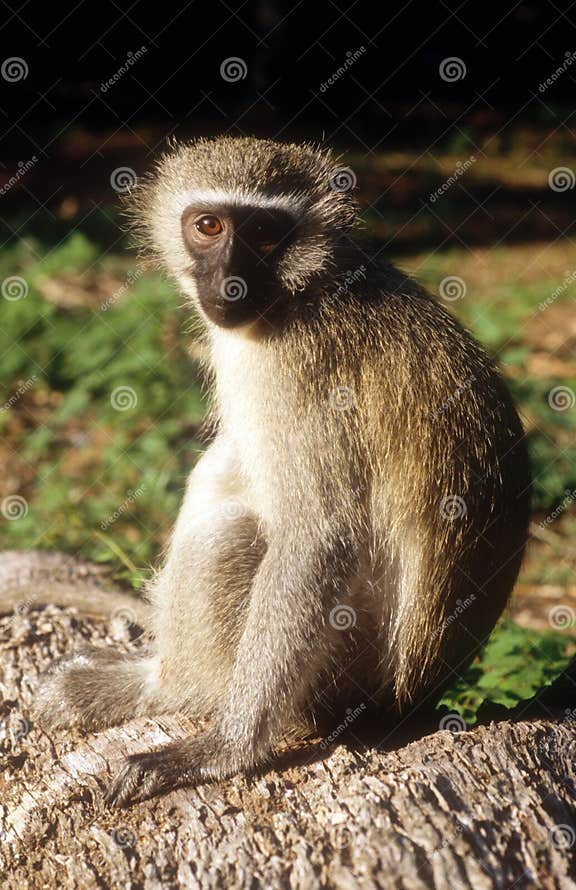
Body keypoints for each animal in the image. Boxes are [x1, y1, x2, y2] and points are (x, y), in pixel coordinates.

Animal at [33, 136, 531, 807]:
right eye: (209, 226)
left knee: (230, 534)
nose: (230, 281)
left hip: (338, 676)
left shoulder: (302, 373)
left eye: (267, 233)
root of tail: (406, 706)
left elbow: (320, 538)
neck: (305, 290)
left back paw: (167, 691)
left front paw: (223, 751)